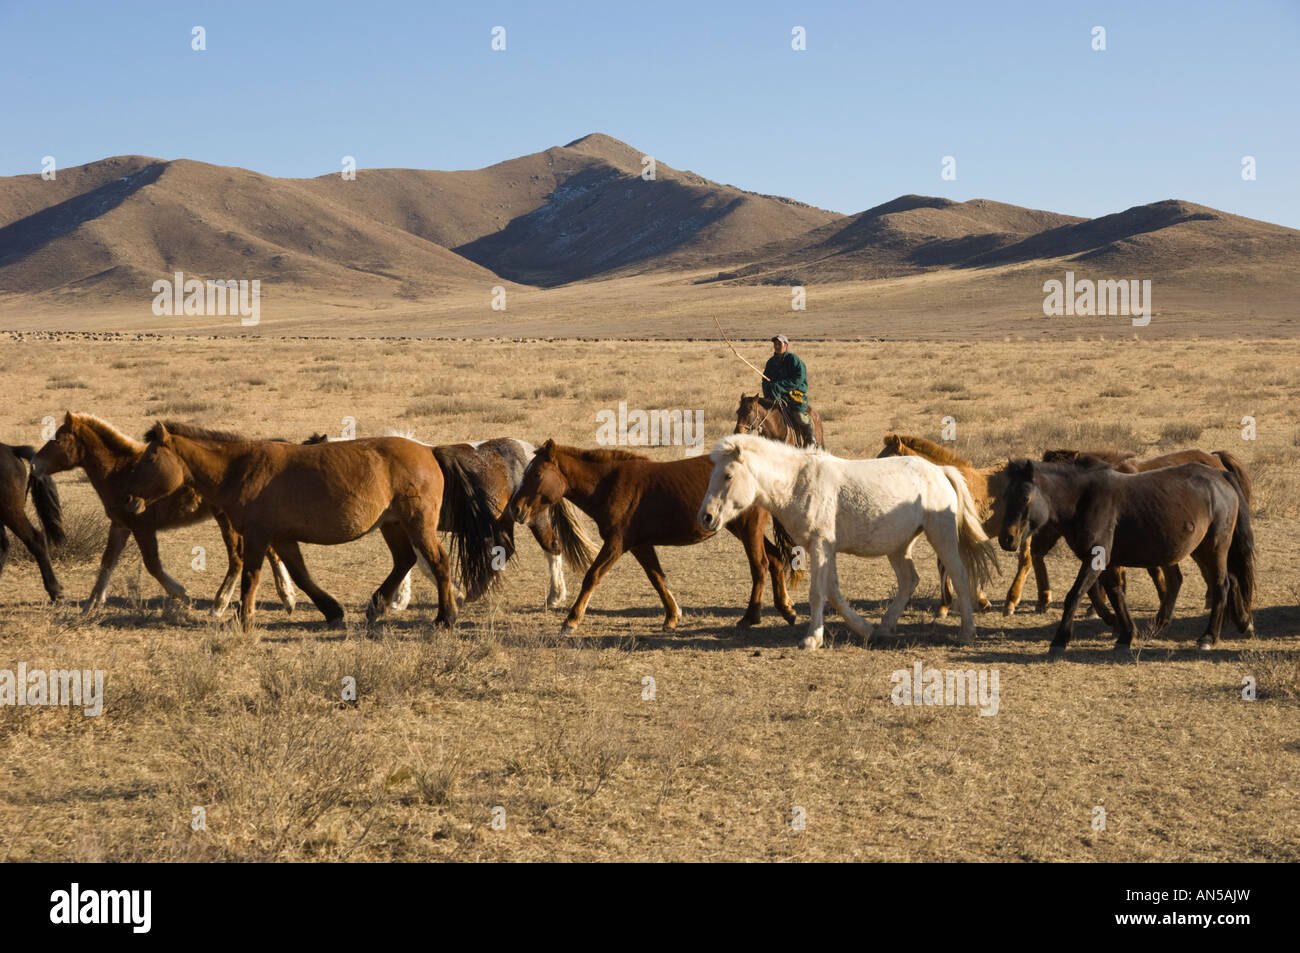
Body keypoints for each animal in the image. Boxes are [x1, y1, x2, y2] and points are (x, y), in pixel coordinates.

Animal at [31, 413, 296, 615]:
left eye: (58, 440)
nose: (34, 464)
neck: (120, 470)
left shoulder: (142, 527)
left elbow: (152, 564)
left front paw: (183, 595)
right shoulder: (120, 526)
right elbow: (107, 561)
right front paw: (92, 603)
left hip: (228, 520)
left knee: (239, 558)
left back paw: (220, 605)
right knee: (269, 551)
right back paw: (287, 597)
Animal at [120, 422, 493, 633]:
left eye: (150, 458)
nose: (128, 499)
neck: (240, 468)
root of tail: (430, 451)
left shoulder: (257, 536)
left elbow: (251, 576)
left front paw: (243, 618)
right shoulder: (282, 539)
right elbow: (301, 576)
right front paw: (332, 611)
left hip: (417, 524)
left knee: (438, 562)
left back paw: (446, 618)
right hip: (394, 525)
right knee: (404, 560)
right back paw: (376, 607)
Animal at [507, 440, 797, 632]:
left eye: (536, 474)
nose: (515, 508)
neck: (608, 484)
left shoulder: (616, 544)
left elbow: (592, 576)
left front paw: (571, 620)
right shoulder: (641, 545)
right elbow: (657, 578)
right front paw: (672, 616)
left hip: (748, 527)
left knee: (760, 565)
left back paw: (750, 617)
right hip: (741, 528)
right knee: (774, 559)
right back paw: (786, 608)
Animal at [700, 434, 998, 649]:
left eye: (727, 475)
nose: (706, 516)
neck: (798, 483)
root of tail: (940, 471)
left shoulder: (820, 545)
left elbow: (818, 592)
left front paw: (812, 639)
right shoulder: (823, 548)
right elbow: (832, 591)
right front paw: (864, 628)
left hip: (941, 536)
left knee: (959, 576)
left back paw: (966, 633)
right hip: (898, 546)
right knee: (909, 580)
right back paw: (884, 627)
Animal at [997, 459, 1255, 657]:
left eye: (1025, 498)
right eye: (1005, 497)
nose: (1006, 539)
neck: (1083, 500)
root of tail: (1220, 475)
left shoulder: (1095, 559)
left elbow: (1075, 595)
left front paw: (1060, 640)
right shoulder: (1107, 563)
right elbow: (1116, 595)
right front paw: (1126, 635)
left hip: (1214, 548)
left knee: (1221, 584)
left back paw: (1209, 637)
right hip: (1201, 550)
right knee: (1230, 581)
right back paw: (1244, 623)